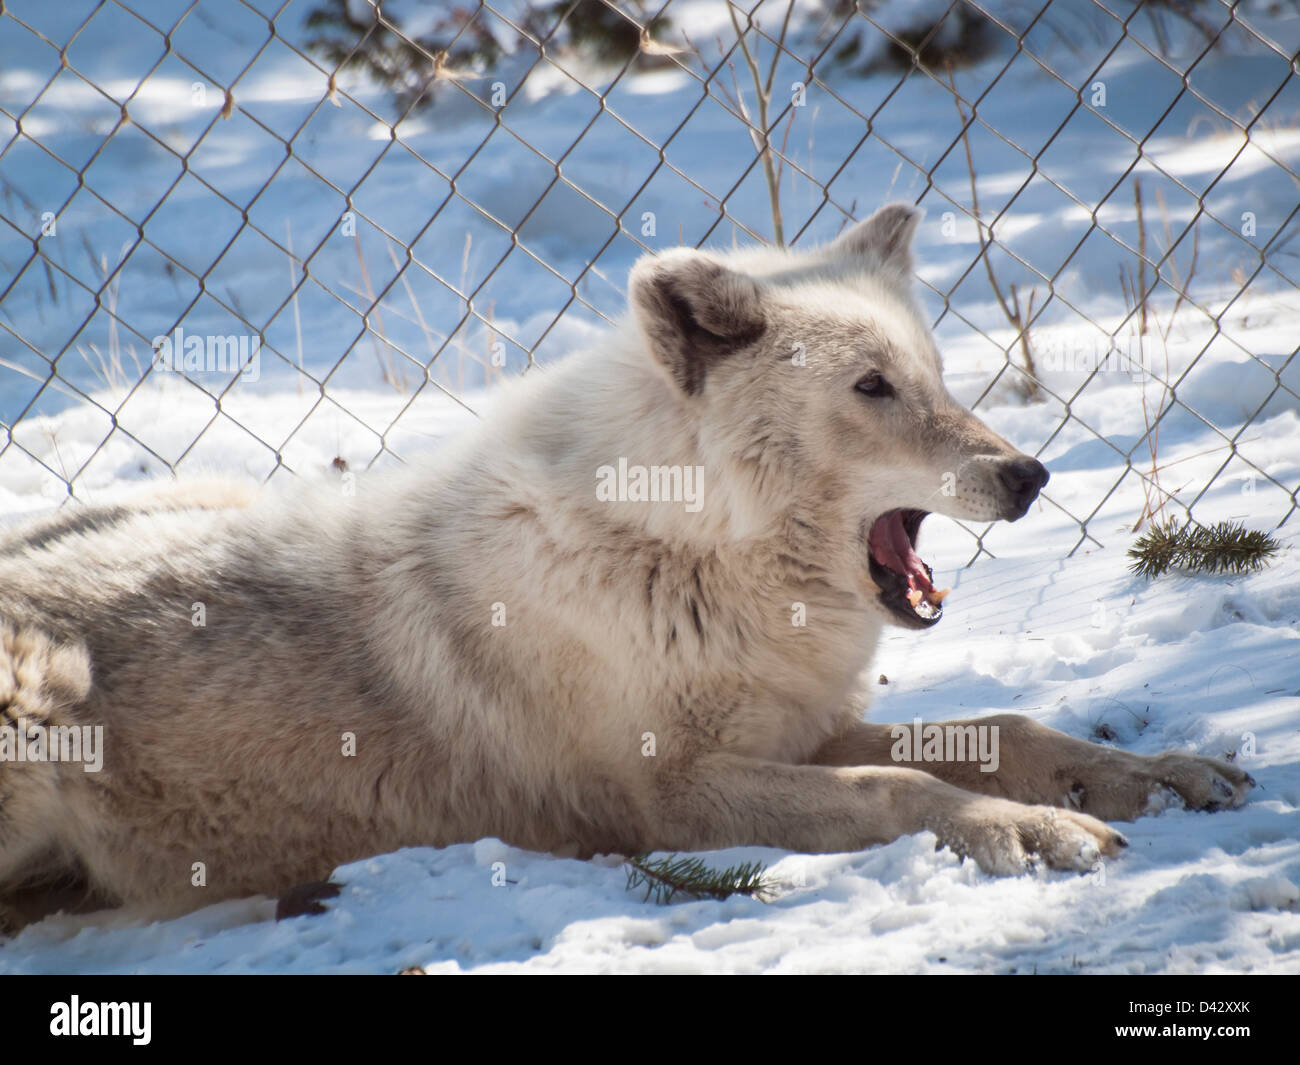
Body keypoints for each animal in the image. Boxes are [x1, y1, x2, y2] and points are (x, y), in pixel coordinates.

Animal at [0, 204, 1253, 932]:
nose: (1031, 474)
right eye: (871, 388)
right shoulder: (674, 795)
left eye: (939, 377)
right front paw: (1033, 834)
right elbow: (899, 790)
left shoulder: (791, 729)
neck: (683, 550)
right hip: (34, 693)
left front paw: (1158, 775)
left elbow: (1006, 728)